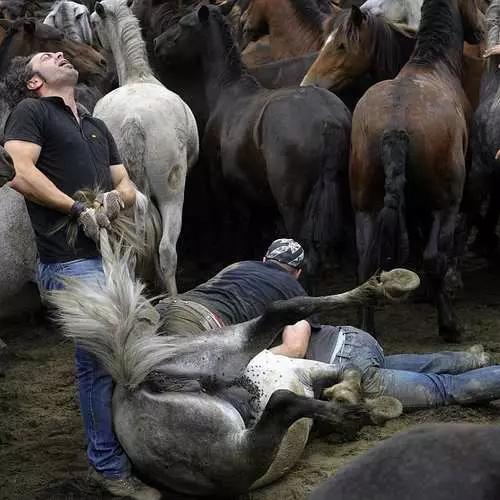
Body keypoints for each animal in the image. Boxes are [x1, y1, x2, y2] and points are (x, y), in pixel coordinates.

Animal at [91, 0, 198, 294]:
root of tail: (133, 119)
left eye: (93, 22)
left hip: (122, 201)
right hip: (172, 193)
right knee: (167, 249)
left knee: (129, 249)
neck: (138, 78)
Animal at [155, 3, 352, 292]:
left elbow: (235, 227)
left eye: (183, 24)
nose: (157, 42)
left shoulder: (224, 187)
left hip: (294, 207)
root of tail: (330, 119)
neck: (229, 92)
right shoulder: (259, 196)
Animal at [348, 0, 484, 344]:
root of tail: (395, 127)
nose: (479, 31)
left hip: (366, 206)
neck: (431, 65)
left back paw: (365, 327)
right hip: (446, 203)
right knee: (435, 257)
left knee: (366, 261)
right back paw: (449, 324)